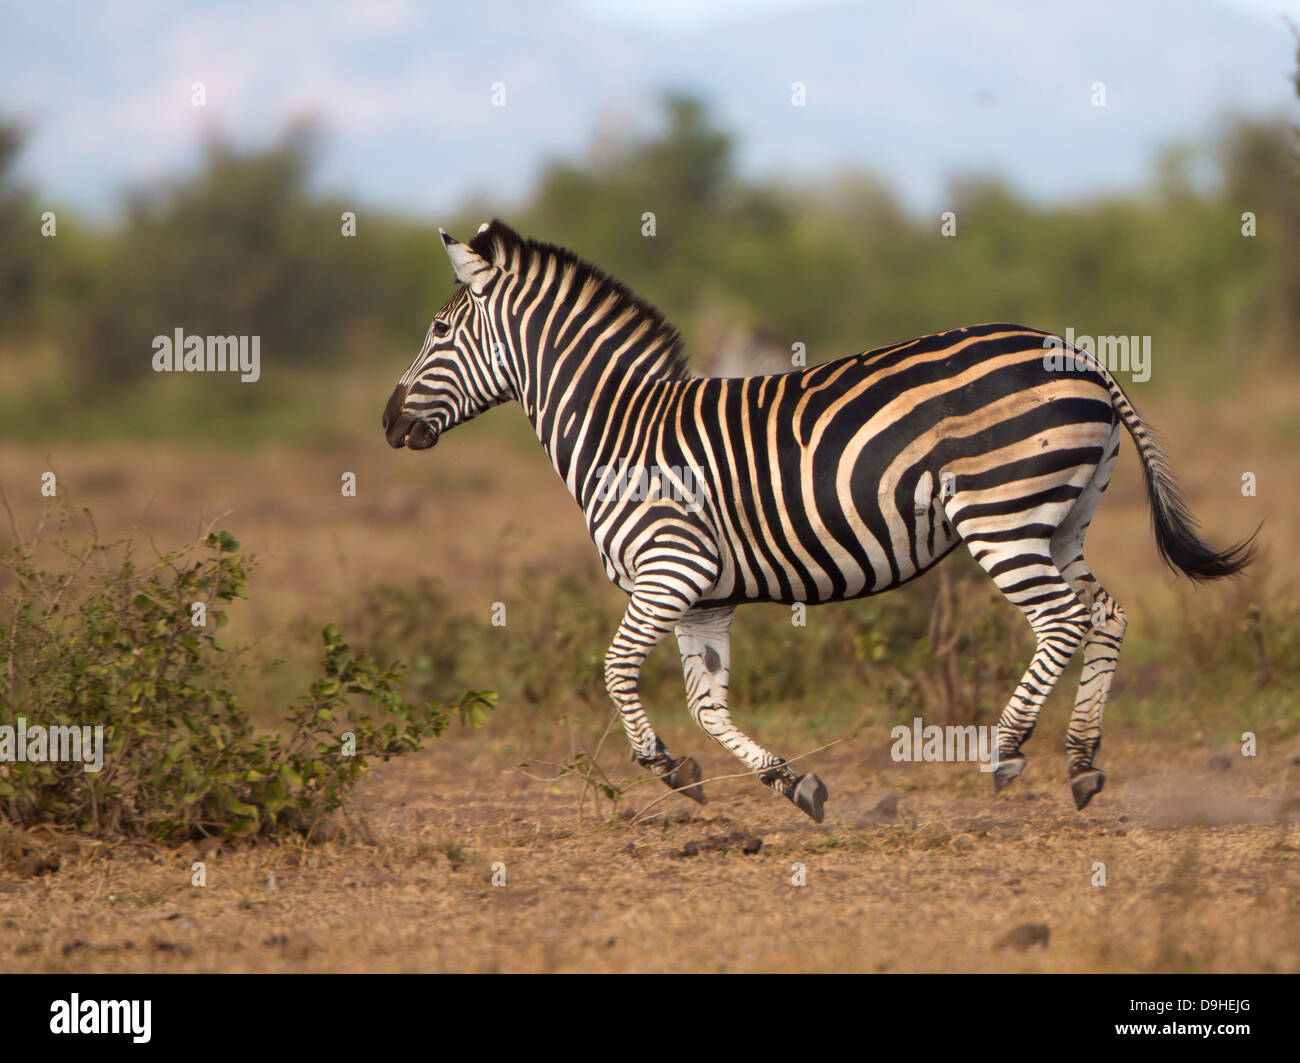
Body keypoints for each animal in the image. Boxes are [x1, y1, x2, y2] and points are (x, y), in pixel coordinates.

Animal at [383, 220, 1256, 822]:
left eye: (437, 331)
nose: (388, 424)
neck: (617, 429)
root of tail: (1085, 355)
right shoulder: (704, 597)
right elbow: (707, 703)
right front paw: (788, 781)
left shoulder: (669, 569)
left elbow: (615, 669)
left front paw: (666, 769)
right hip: (1061, 519)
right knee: (1107, 612)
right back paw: (1081, 761)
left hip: (1001, 514)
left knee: (1062, 619)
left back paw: (1006, 752)